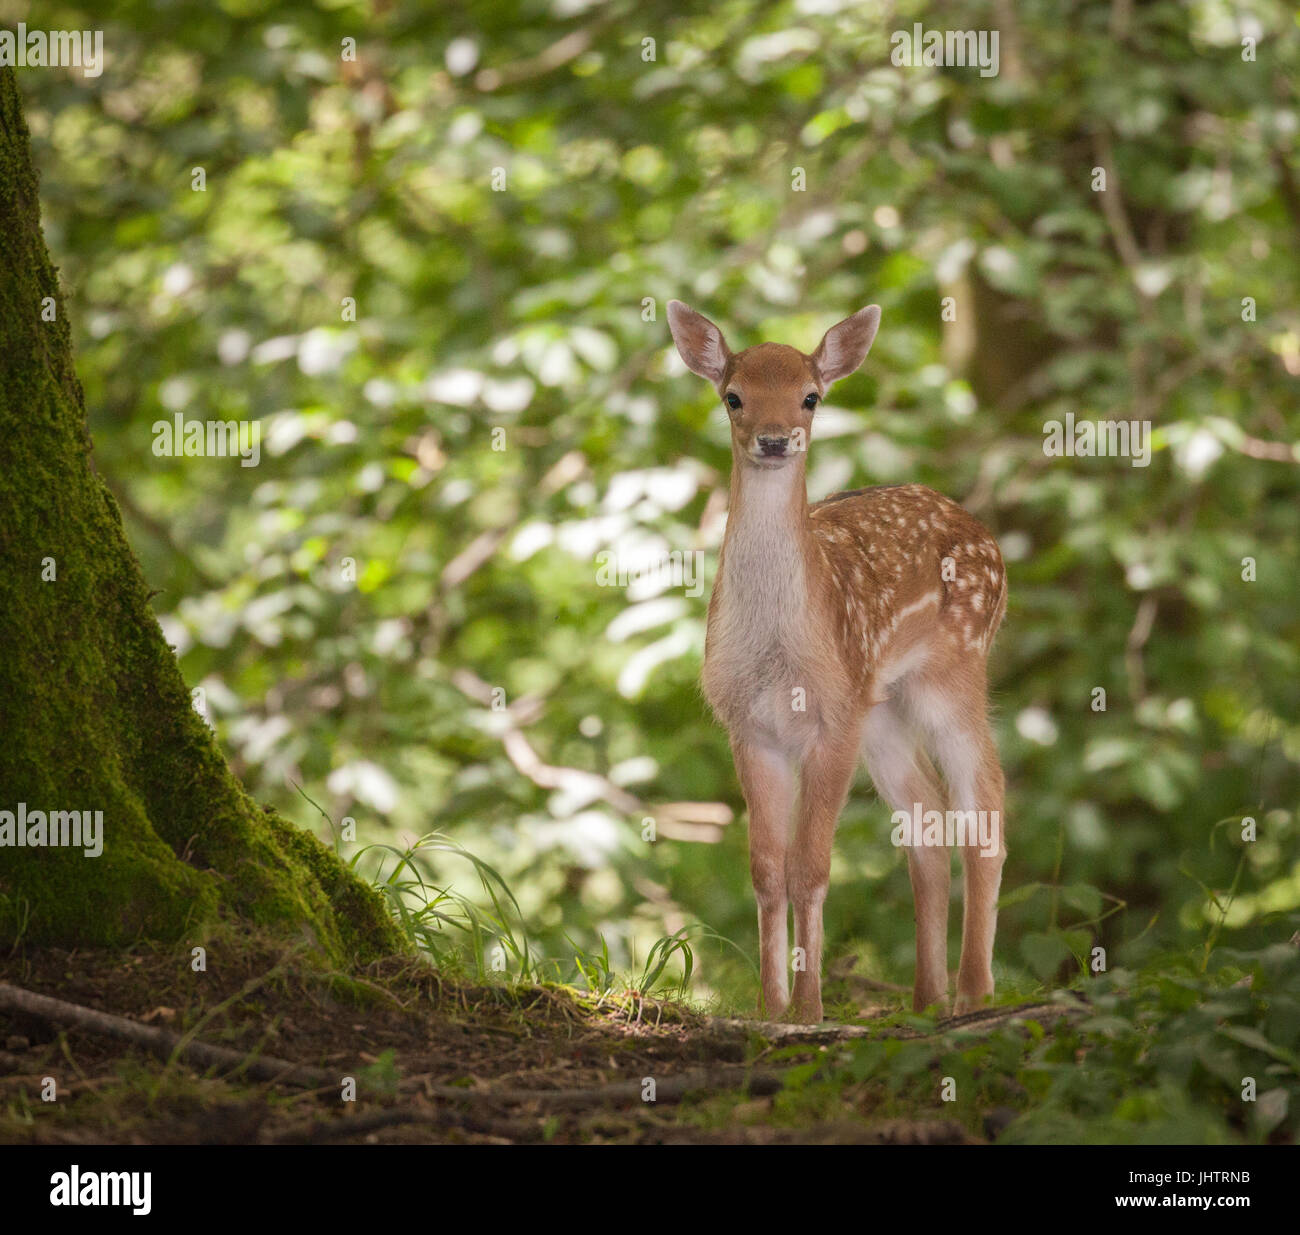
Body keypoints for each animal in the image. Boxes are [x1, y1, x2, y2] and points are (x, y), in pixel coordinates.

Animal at [667, 300, 1008, 1024]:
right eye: (733, 396)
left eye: (810, 397)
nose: (774, 440)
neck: (777, 649)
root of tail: (987, 536)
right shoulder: (750, 726)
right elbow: (767, 869)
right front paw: (770, 1007)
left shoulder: (832, 719)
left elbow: (812, 866)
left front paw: (810, 1008)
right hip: (879, 706)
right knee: (927, 819)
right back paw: (925, 997)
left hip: (954, 668)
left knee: (983, 804)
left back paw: (974, 991)